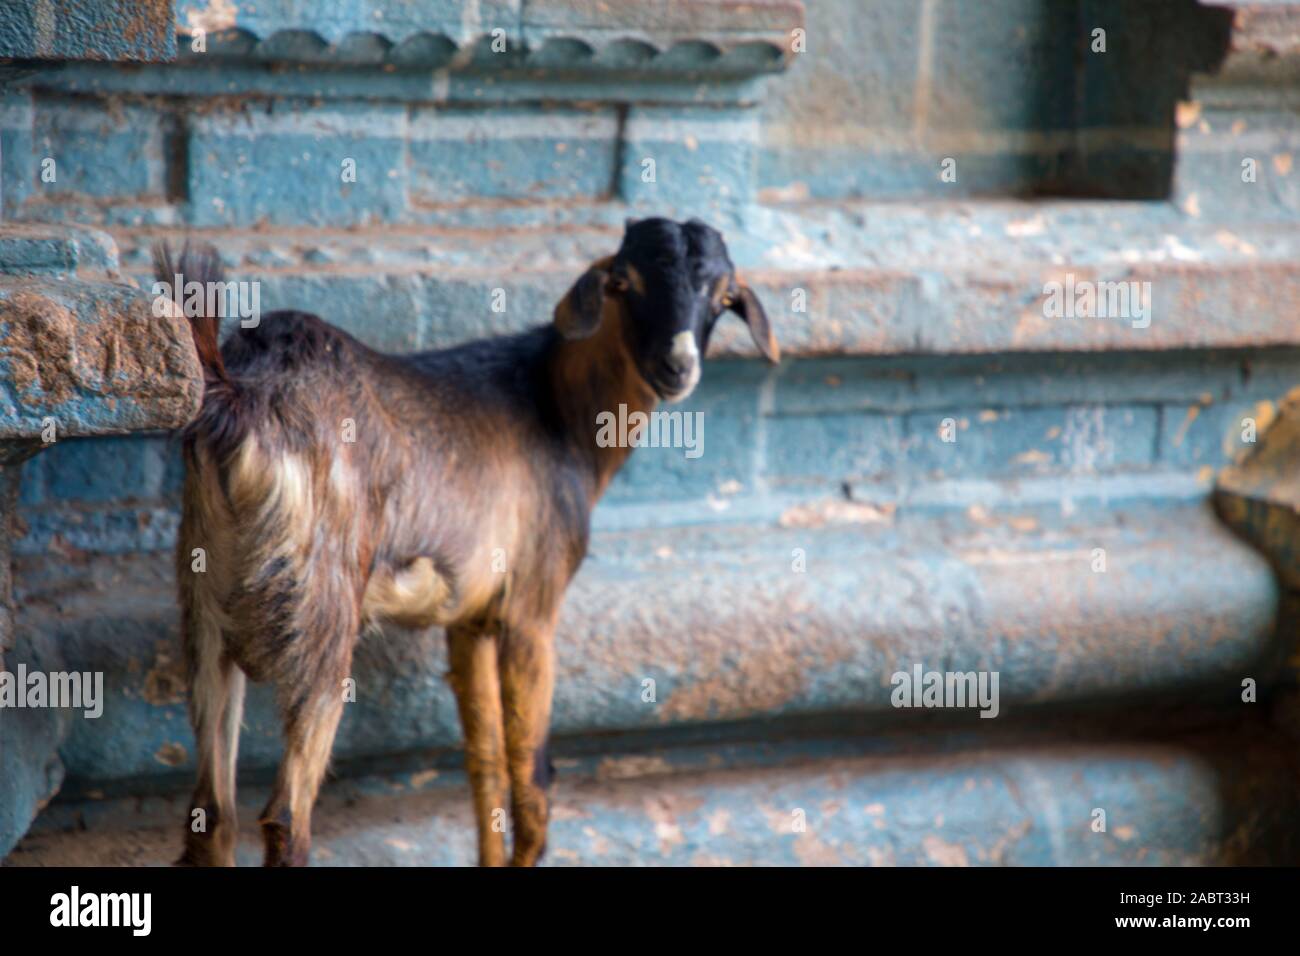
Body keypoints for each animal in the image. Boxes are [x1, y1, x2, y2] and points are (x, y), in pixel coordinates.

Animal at [156, 217, 780, 867]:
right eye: (623, 282)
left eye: (723, 296)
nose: (677, 366)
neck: (554, 409)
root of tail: (241, 397)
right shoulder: (531, 608)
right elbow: (533, 790)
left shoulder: (469, 620)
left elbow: (484, 768)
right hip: (322, 617)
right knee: (287, 819)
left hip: (203, 605)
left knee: (212, 814)